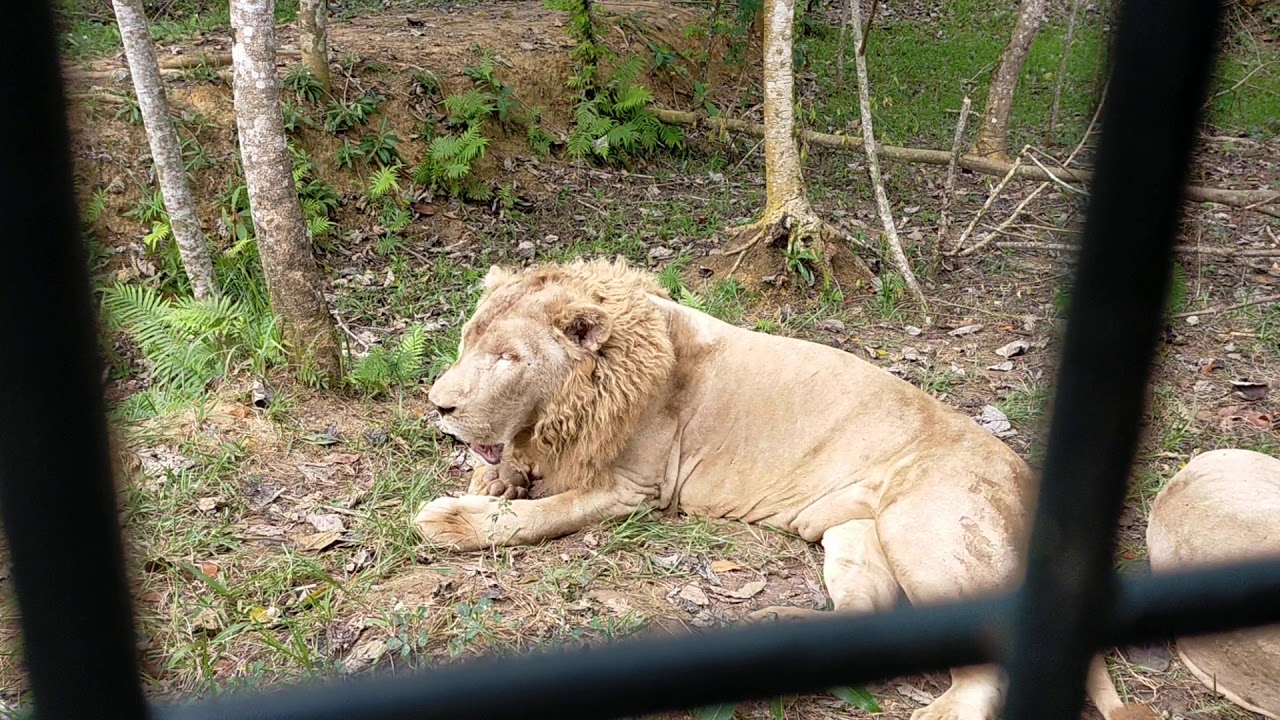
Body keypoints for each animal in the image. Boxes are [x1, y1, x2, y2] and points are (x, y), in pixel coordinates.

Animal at [412, 257, 1148, 720]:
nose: (438, 404)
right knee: (871, 616)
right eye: (467, 339)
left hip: (928, 531)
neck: (565, 408)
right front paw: (491, 477)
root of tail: (1029, 476)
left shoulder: (632, 490)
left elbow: (541, 514)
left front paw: (451, 519)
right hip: (857, 533)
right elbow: (500, 473)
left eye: (508, 358)